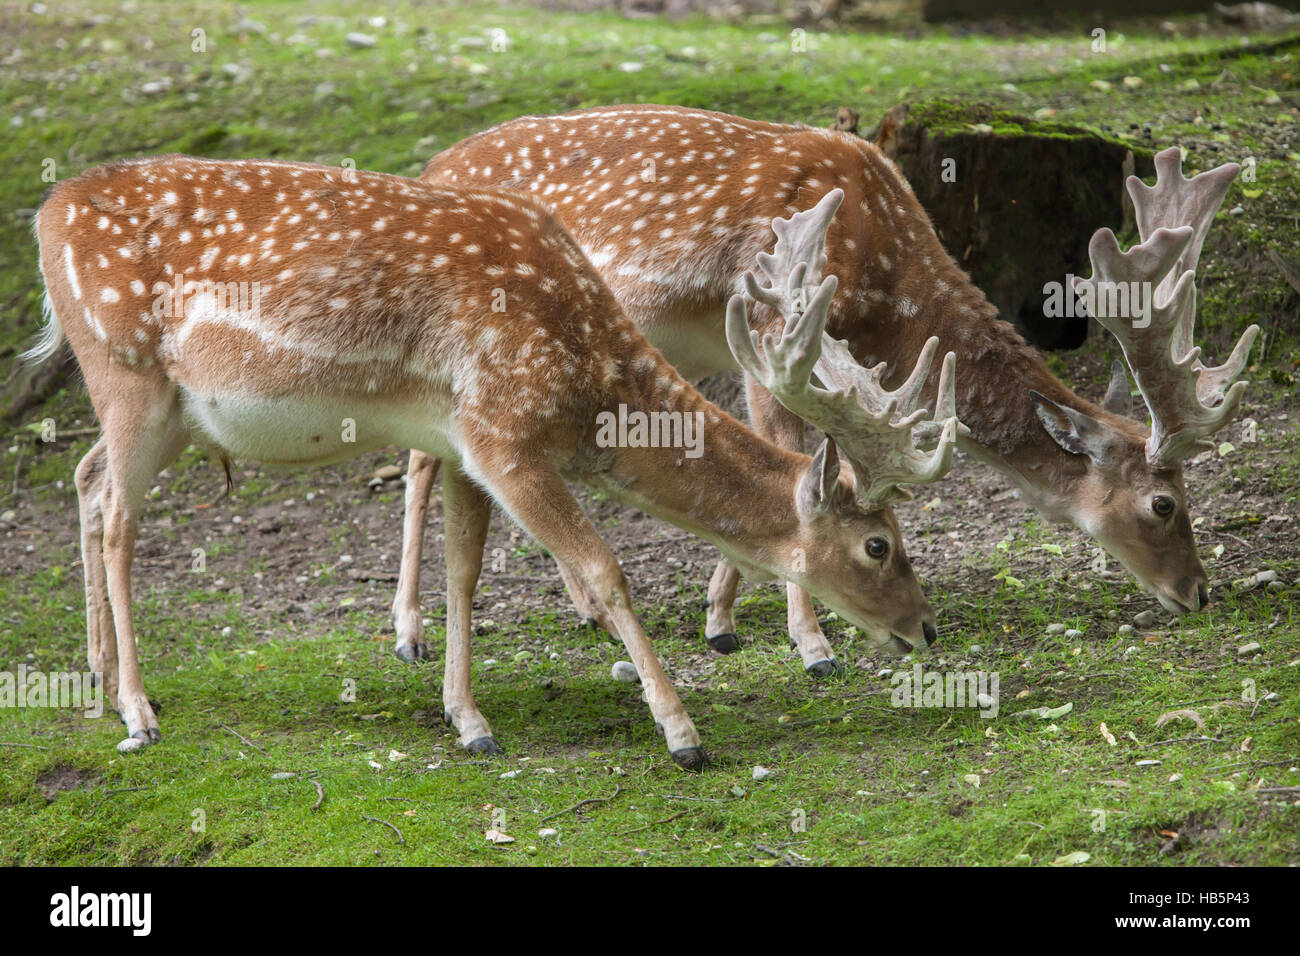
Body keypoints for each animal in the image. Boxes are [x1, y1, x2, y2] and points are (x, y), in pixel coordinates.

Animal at [30, 155, 960, 768]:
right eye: (879, 543)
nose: (925, 627)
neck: (585, 381)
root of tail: (43, 215)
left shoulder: (460, 437)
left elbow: (465, 572)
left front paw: (468, 721)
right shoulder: (506, 434)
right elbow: (605, 571)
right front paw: (683, 732)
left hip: (167, 411)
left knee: (86, 479)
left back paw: (99, 672)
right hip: (124, 368)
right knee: (118, 520)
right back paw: (137, 710)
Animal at [390, 106, 1259, 675]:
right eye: (1163, 504)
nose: (1199, 593)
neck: (887, 283)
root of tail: (428, 167)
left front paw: (722, 618)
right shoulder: (775, 331)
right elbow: (793, 455)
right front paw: (808, 643)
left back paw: (579, 607)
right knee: (424, 460)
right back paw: (408, 631)